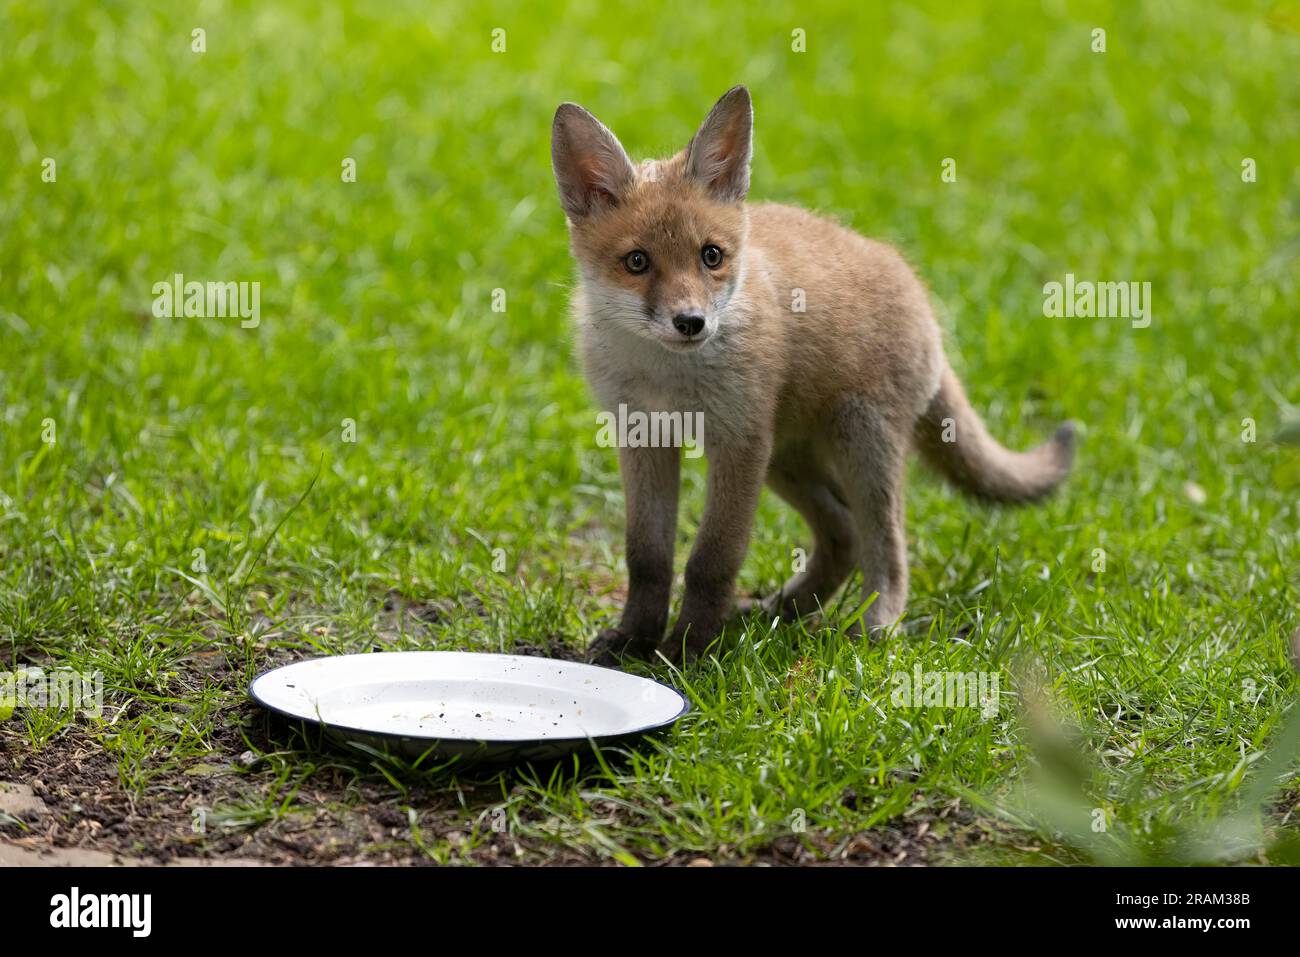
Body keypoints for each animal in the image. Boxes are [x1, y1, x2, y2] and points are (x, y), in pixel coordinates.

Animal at [551, 86, 1076, 666]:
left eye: (711, 256)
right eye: (637, 262)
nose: (691, 322)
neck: (668, 379)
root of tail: (920, 295)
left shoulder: (738, 444)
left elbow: (712, 560)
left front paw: (689, 652)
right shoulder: (644, 438)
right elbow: (647, 557)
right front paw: (635, 639)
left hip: (857, 445)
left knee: (888, 546)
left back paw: (875, 624)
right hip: (787, 459)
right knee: (843, 535)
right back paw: (782, 612)